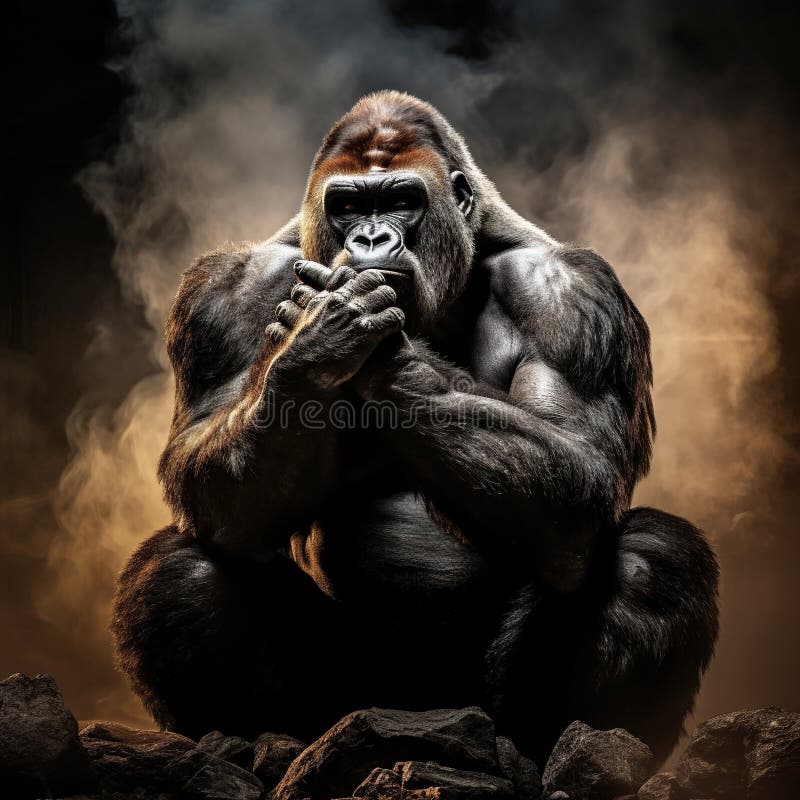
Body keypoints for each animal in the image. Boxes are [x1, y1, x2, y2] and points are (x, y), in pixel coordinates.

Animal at [112, 91, 719, 766]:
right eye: (349, 206)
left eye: (402, 199)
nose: (372, 237)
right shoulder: (228, 290)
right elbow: (206, 473)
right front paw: (311, 347)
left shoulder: (575, 293)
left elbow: (579, 470)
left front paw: (373, 348)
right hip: (346, 705)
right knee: (183, 570)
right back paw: (248, 743)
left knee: (650, 559)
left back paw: (577, 749)